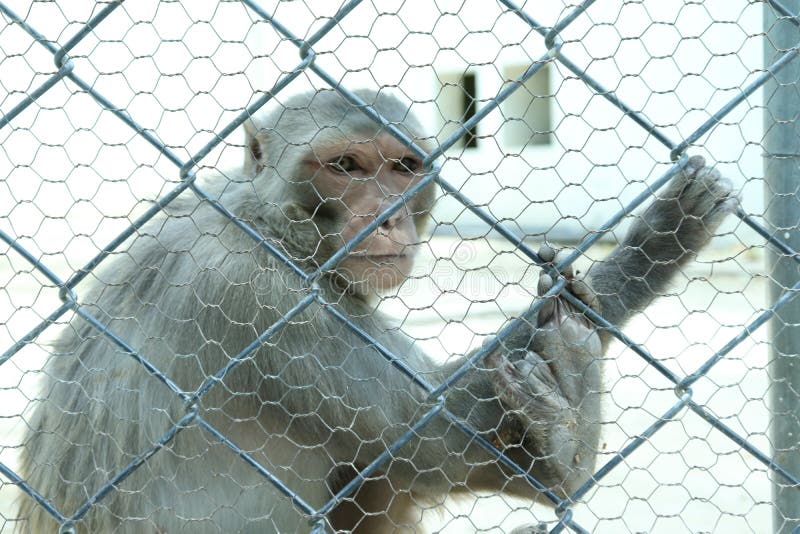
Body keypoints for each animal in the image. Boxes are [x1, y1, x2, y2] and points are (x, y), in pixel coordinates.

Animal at [16, 88, 735, 533]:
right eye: (345, 165)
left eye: (403, 167)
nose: (389, 217)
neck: (274, 231)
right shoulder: (263, 302)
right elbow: (438, 432)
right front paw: (651, 249)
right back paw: (569, 445)